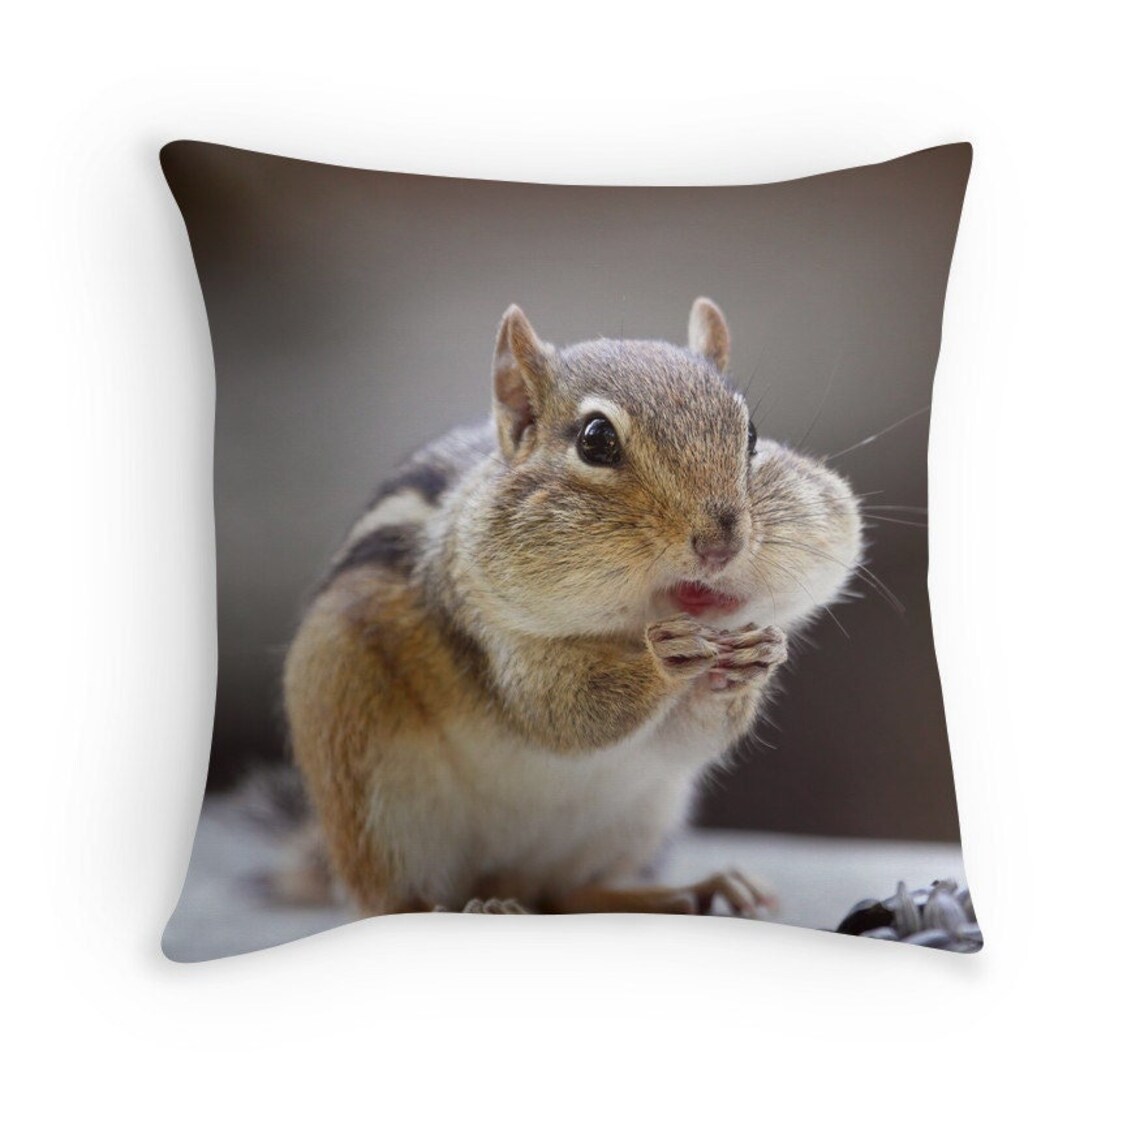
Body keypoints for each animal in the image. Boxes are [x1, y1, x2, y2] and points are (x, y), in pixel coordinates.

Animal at [282, 298, 862, 917]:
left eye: (751, 435)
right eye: (596, 440)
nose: (720, 544)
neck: (623, 628)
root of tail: (507, 878)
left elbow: (693, 735)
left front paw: (758, 657)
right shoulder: (494, 635)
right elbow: (563, 710)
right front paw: (667, 659)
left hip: (638, 817)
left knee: (573, 893)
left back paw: (695, 889)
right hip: (369, 792)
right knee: (395, 902)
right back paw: (470, 909)